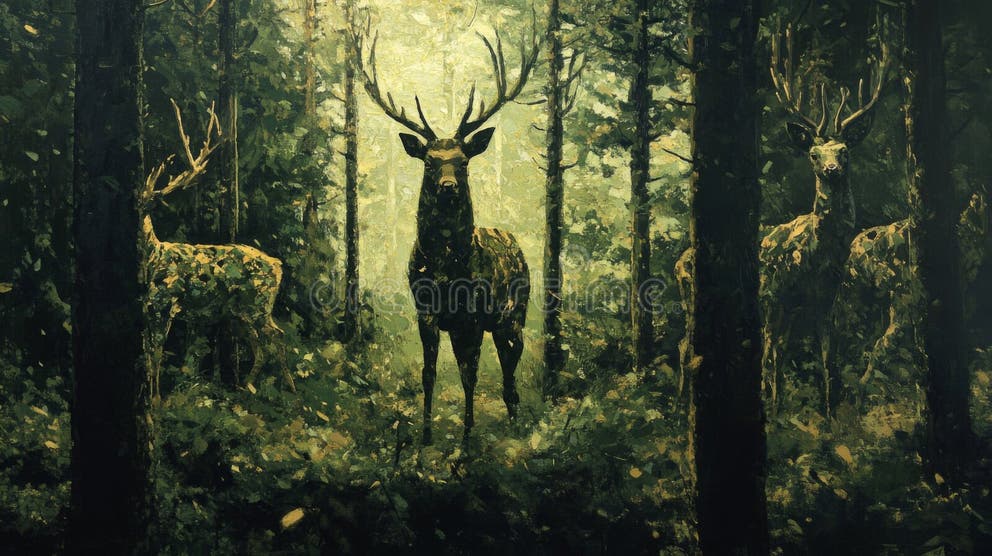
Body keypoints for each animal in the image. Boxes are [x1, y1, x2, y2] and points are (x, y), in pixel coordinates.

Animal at [141, 100, 295, 400]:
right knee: (260, 343)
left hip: (258, 302)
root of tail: (278, 265)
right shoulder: (147, 309)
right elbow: (148, 355)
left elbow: (157, 353)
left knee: (276, 336)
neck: (152, 261)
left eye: (145, 206)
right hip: (238, 312)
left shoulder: (168, 304)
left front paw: (156, 400)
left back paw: (288, 389)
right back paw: (247, 386)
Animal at [352, 18, 538, 446]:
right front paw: (424, 435)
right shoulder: (427, 311)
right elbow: (430, 372)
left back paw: (516, 421)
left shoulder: (473, 316)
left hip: (515, 312)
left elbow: (470, 376)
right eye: (430, 162)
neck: (444, 267)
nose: (449, 186)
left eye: (464, 161)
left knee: (509, 368)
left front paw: (467, 439)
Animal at [758, 25, 889, 417]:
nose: (830, 168)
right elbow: (770, 356)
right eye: (814, 153)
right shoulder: (774, 295)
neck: (819, 255)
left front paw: (830, 415)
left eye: (844, 151)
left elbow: (828, 357)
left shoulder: (825, 300)